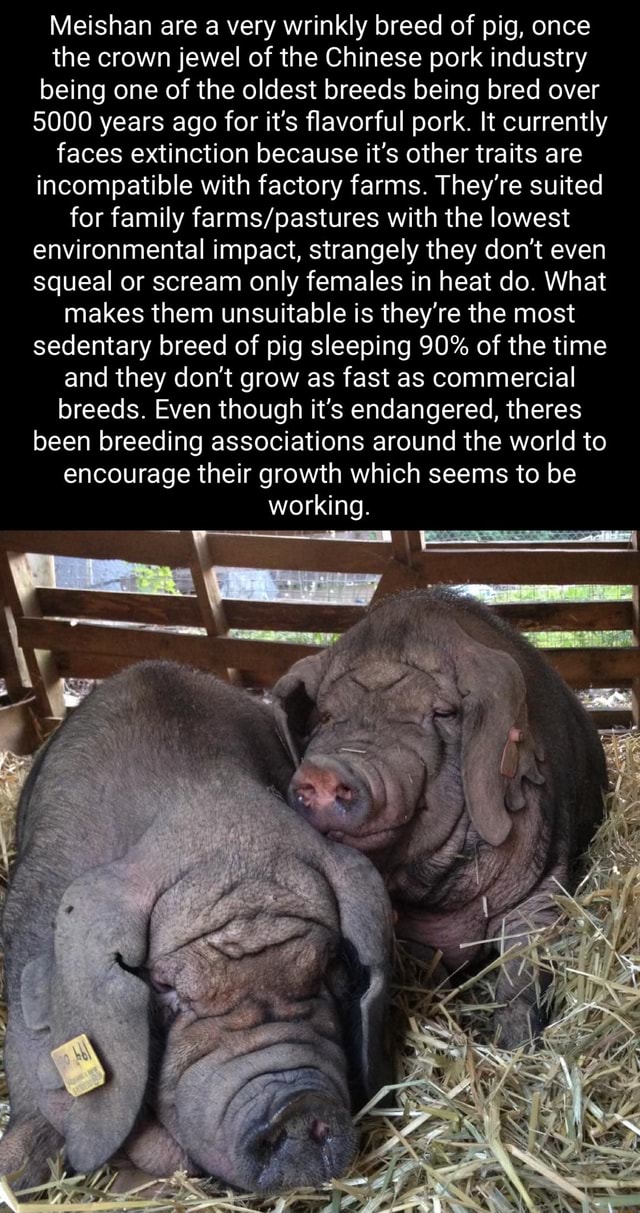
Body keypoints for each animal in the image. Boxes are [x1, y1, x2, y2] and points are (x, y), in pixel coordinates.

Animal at [272, 588, 608, 1048]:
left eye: (442, 713)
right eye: (324, 715)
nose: (325, 770)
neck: (442, 895)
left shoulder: (545, 882)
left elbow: (523, 966)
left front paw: (514, 1043)